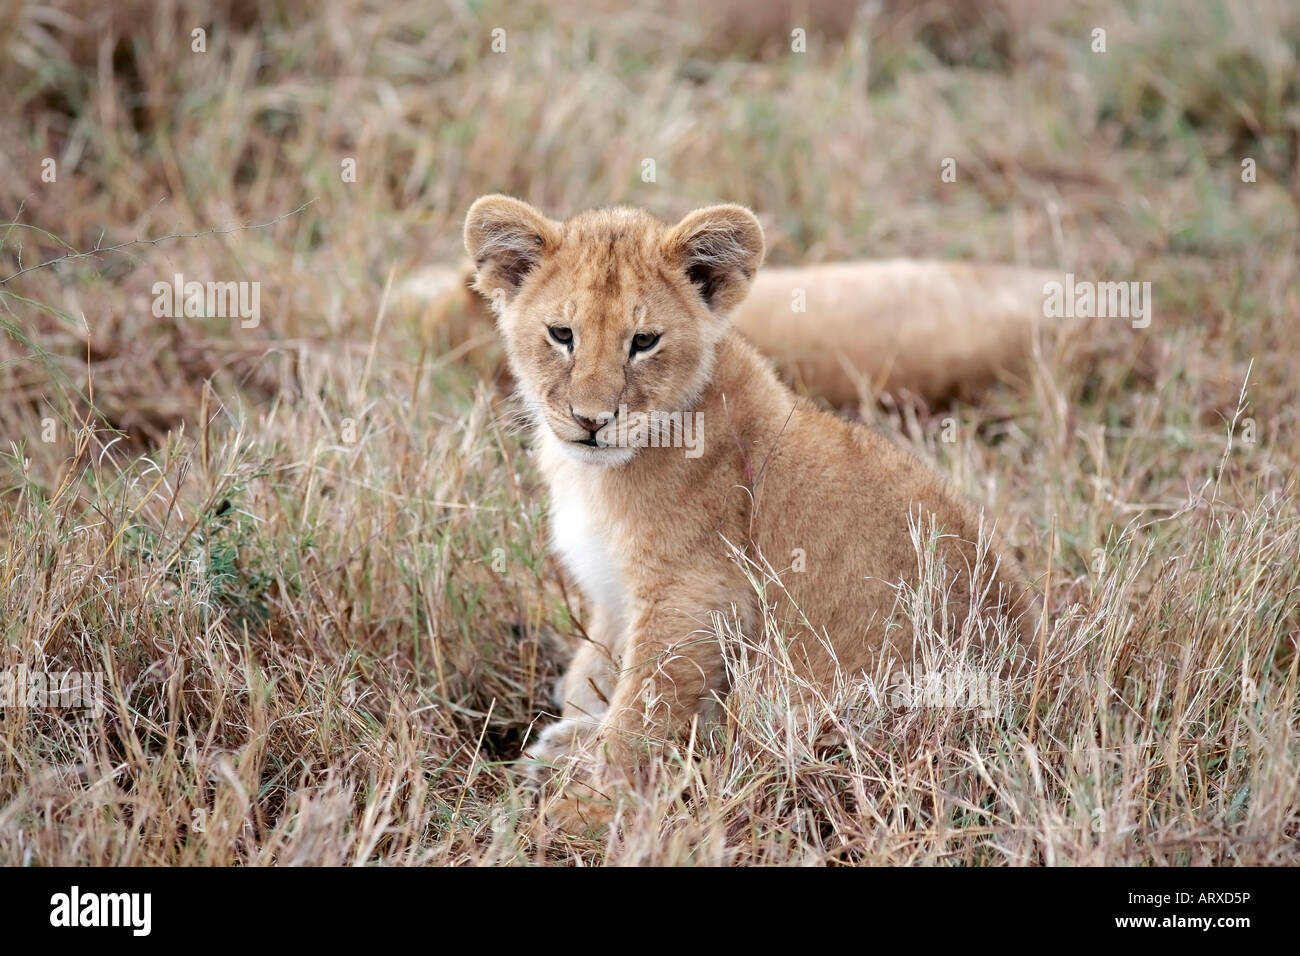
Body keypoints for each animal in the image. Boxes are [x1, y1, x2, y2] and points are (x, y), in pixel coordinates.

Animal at [463, 195, 1039, 834]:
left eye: (644, 341)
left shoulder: (695, 595)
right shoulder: (613, 592)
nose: (592, 420)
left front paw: (587, 808)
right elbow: (592, 674)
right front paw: (576, 752)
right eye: (561, 334)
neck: (595, 475)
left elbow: (641, 709)